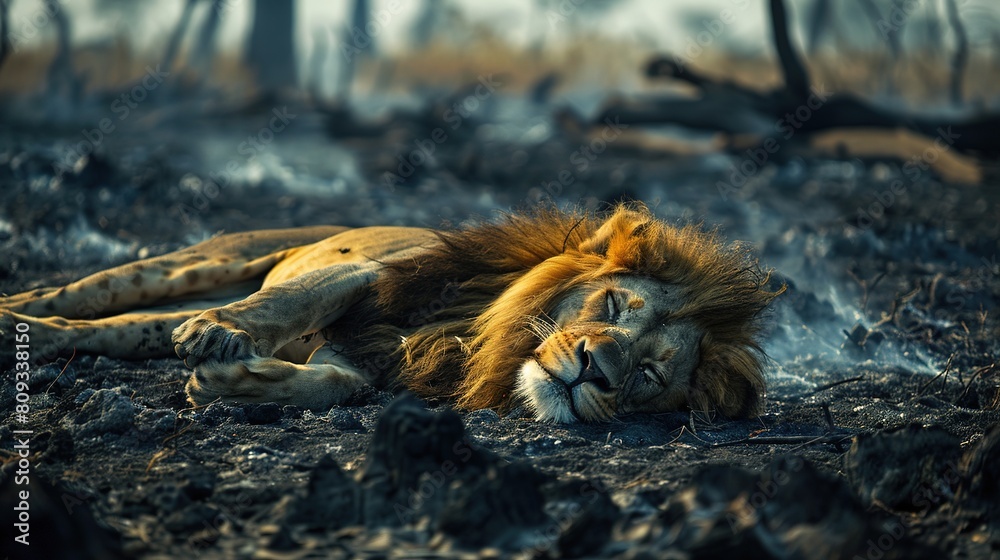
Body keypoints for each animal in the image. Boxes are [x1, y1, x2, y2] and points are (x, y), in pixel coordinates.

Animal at [1, 204, 782, 422]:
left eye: (648, 377)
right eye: (615, 302)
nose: (596, 370)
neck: (480, 346)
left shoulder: (372, 358)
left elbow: (334, 384)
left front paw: (233, 383)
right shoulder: (373, 279)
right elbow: (288, 302)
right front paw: (225, 337)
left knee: (121, 332)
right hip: (201, 262)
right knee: (92, 297)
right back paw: (22, 317)